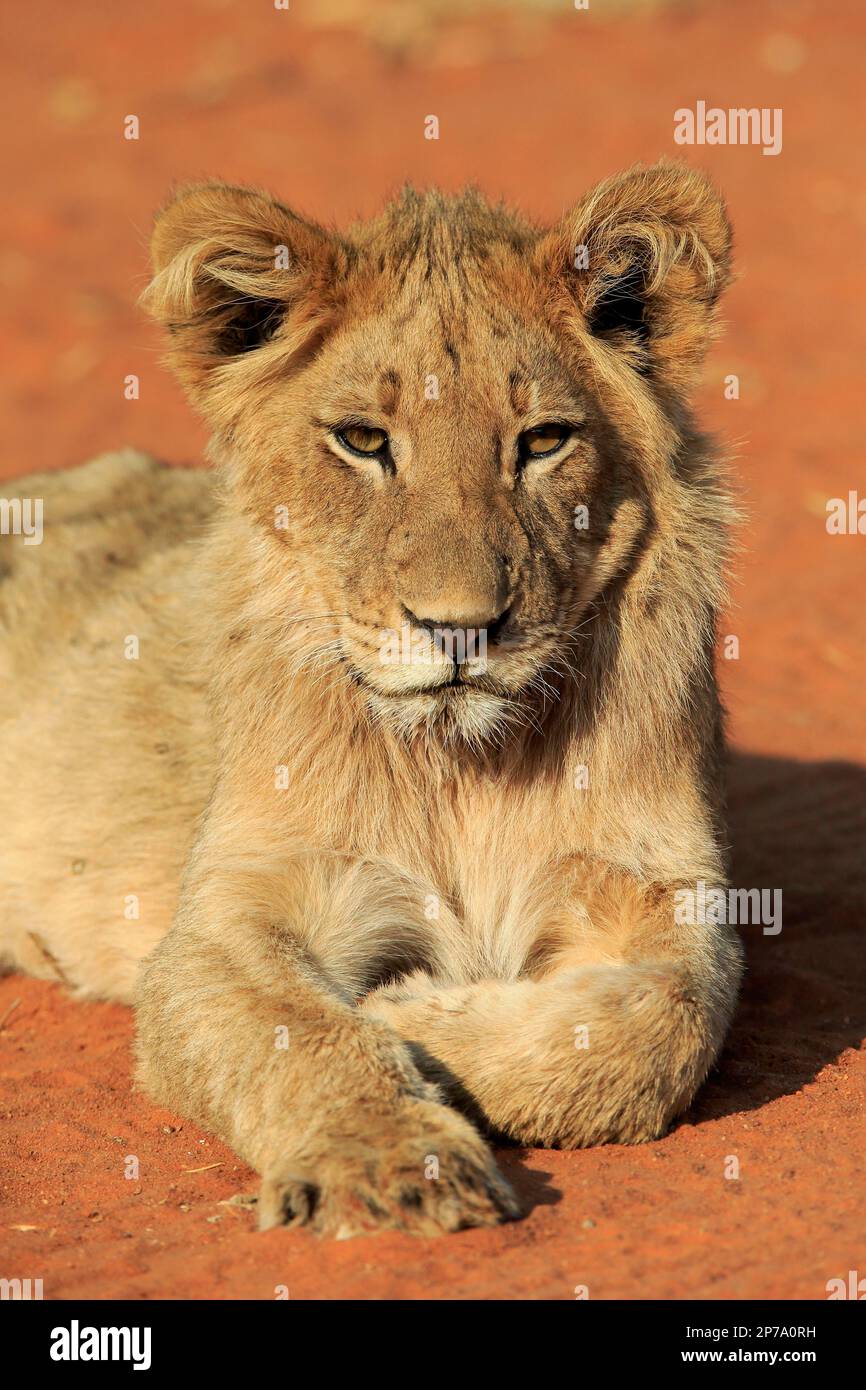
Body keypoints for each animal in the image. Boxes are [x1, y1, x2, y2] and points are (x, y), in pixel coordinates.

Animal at [0, 161, 743, 1236]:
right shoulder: (229, 917)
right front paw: (393, 1162)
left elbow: (657, 1028)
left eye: (543, 440)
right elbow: (299, 1034)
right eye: (362, 441)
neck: (463, 767)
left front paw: (414, 1013)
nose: (460, 627)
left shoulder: (666, 886)